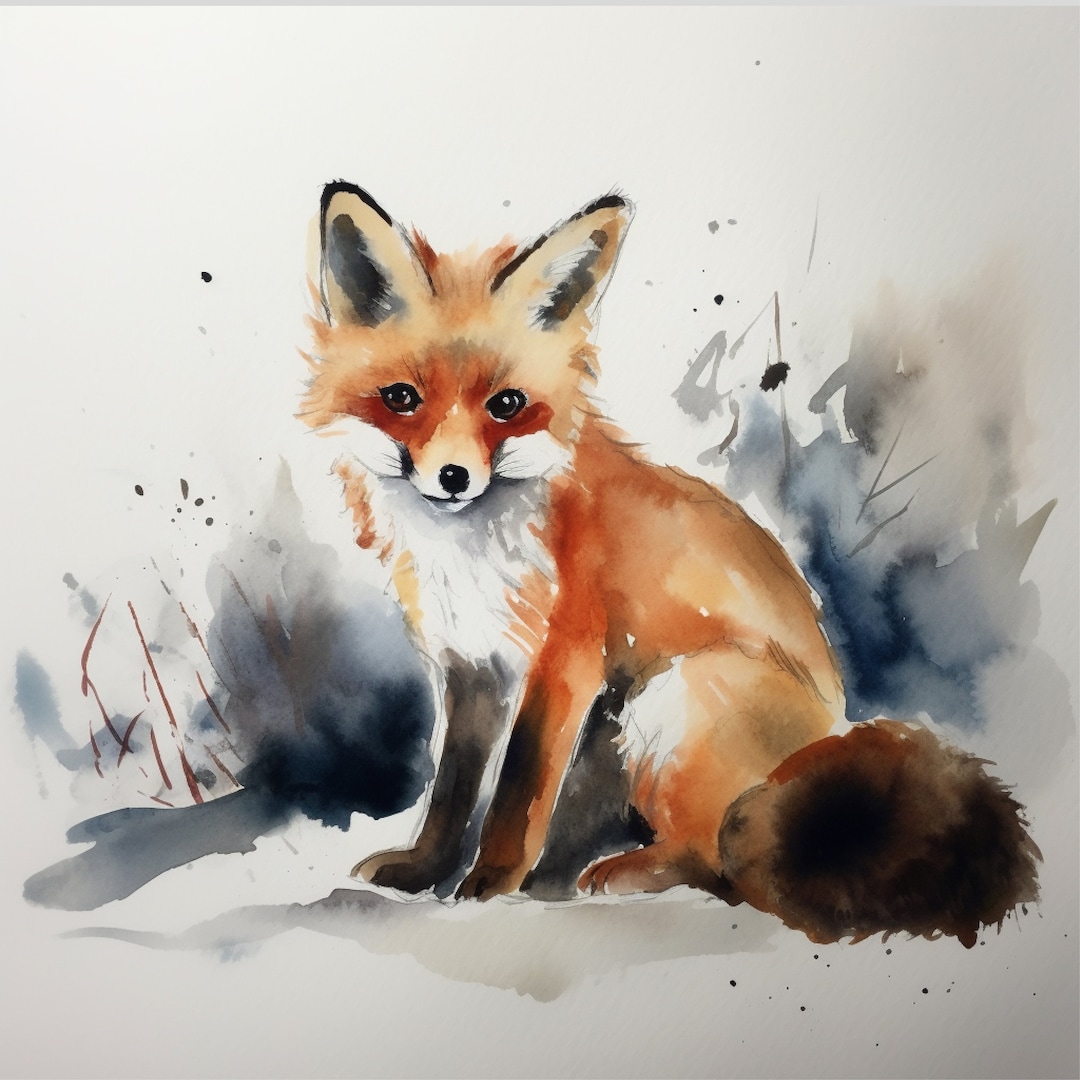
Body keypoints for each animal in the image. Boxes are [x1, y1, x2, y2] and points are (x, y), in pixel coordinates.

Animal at [299, 182, 1038, 946]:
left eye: (506, 405)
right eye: (401, 399)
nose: (452, 477)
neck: (473, 551)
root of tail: (830, 740)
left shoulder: (565, 661)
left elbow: (517, 795)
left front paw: (489, 884)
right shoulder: (469, 667)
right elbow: (449, 791)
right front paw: (423, 871)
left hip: (669, 696)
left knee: (719, 860)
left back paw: (622, 871)